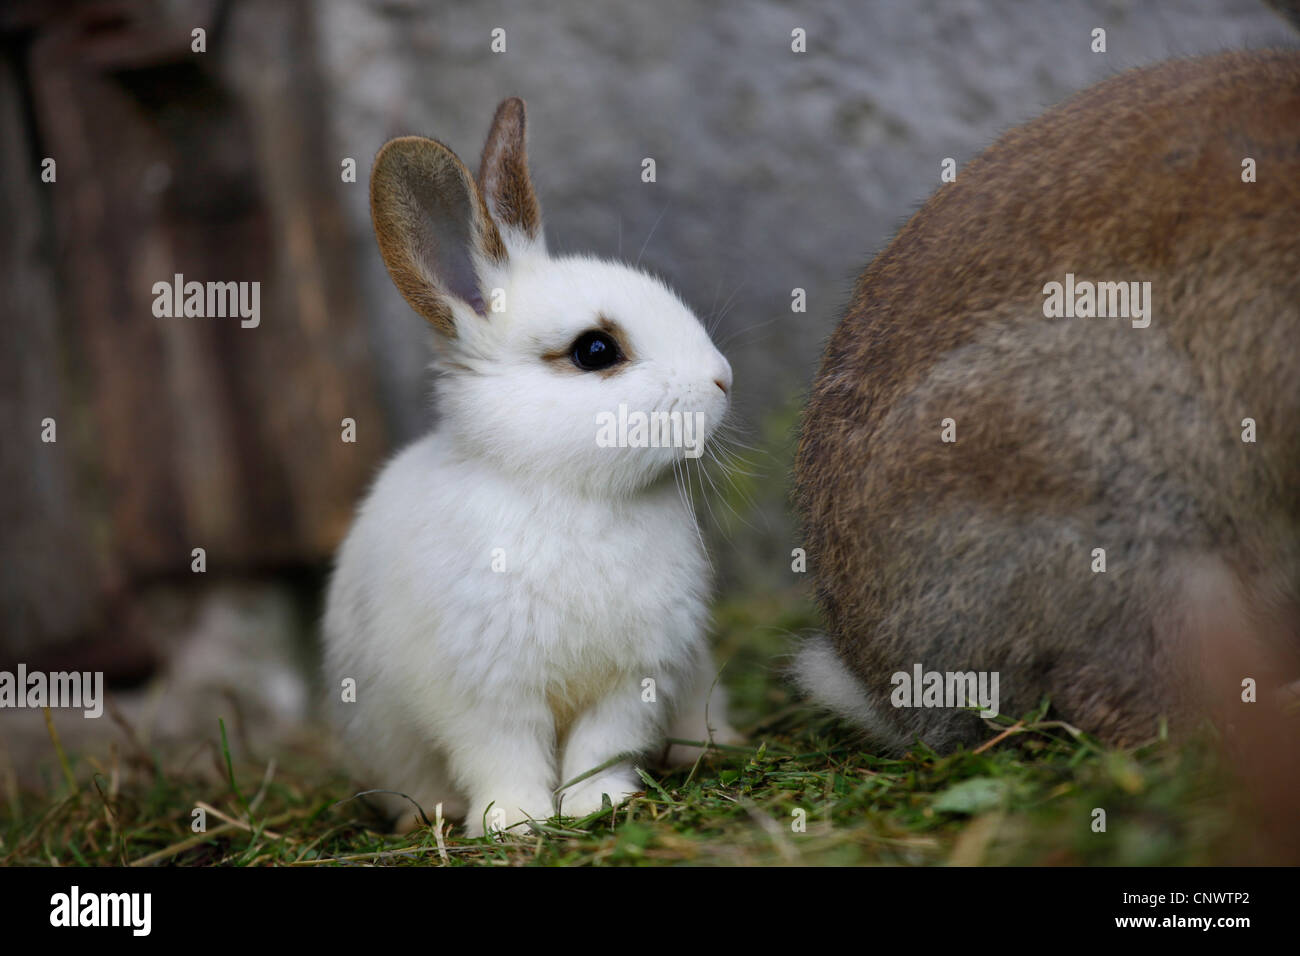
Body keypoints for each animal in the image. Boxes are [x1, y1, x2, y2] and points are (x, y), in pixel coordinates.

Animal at [323, 98, 739, 836]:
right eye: (595, 350)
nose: (723, 380)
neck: (570, 495)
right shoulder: (486, 693)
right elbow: (504, 756)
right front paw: (513, 822)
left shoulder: (633, 681)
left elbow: (601, 749)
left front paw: (595, 805)